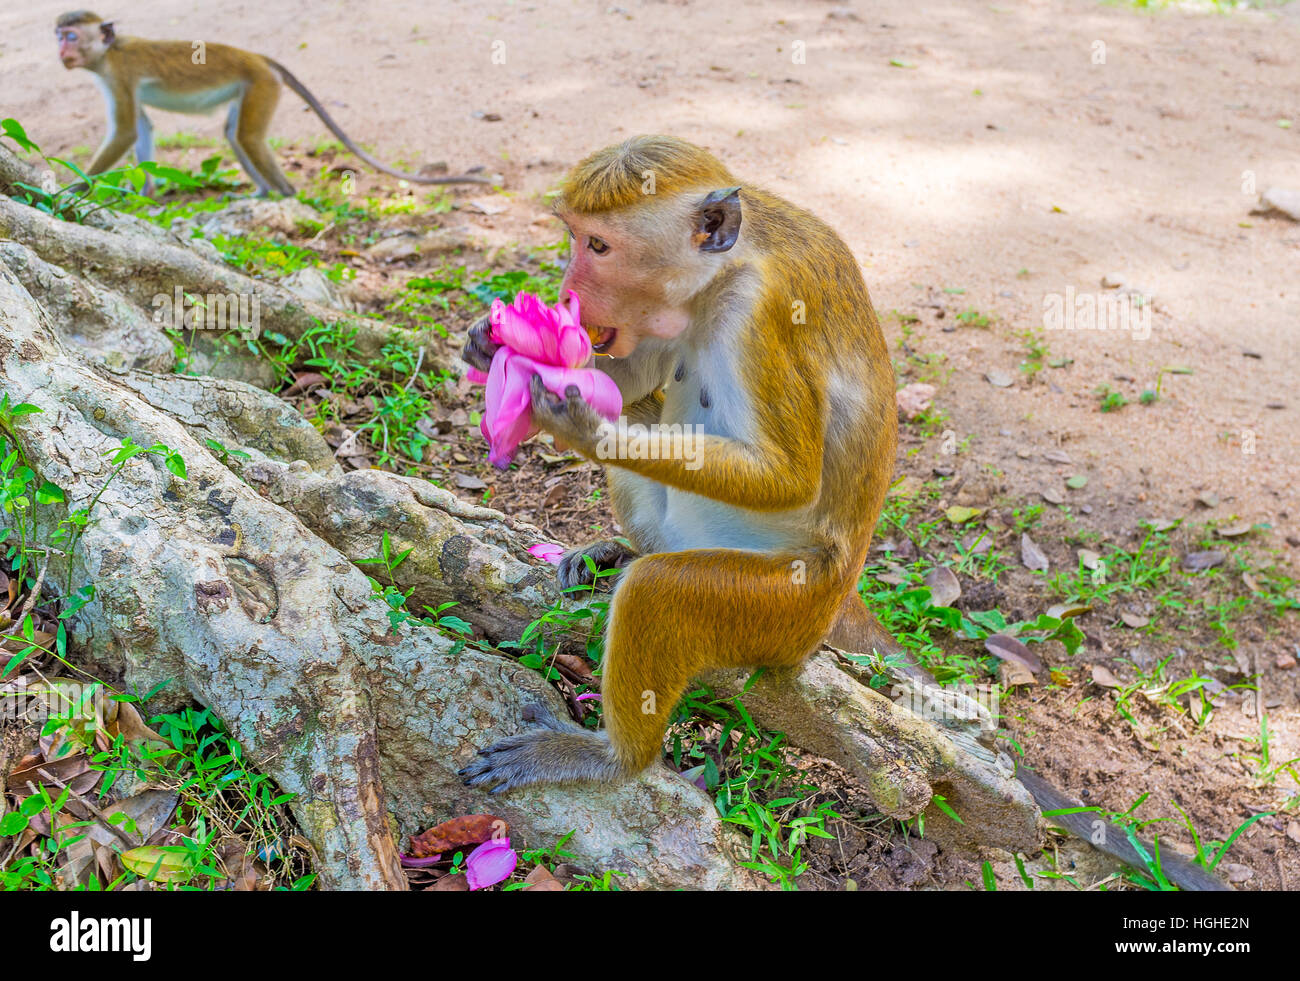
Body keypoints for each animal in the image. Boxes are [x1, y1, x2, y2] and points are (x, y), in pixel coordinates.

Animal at [55, 11, 490, 197]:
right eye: (58, 34)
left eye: (71, 36)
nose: (60, 49)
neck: (108, 51)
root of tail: (259, 58)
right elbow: (142, 129)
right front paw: (146, 192)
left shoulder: (118, 75)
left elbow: (127, 130)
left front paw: (74, 189)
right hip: (255, 86)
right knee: (235, 134)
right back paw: (261, 193)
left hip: (262, 84)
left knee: (247, 137)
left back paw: (284, 194)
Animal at [459, 136, 1230, 891]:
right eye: (576, 238)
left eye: (598, 246)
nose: (565, 291)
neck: (724, 272)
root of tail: (842, 595)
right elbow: (637, 377)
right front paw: (489, 342)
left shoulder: (764, 317)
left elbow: (786, 476)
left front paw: (583, 425)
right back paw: (627, 551)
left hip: (787, 610)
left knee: (664, 589)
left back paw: (614, 755)